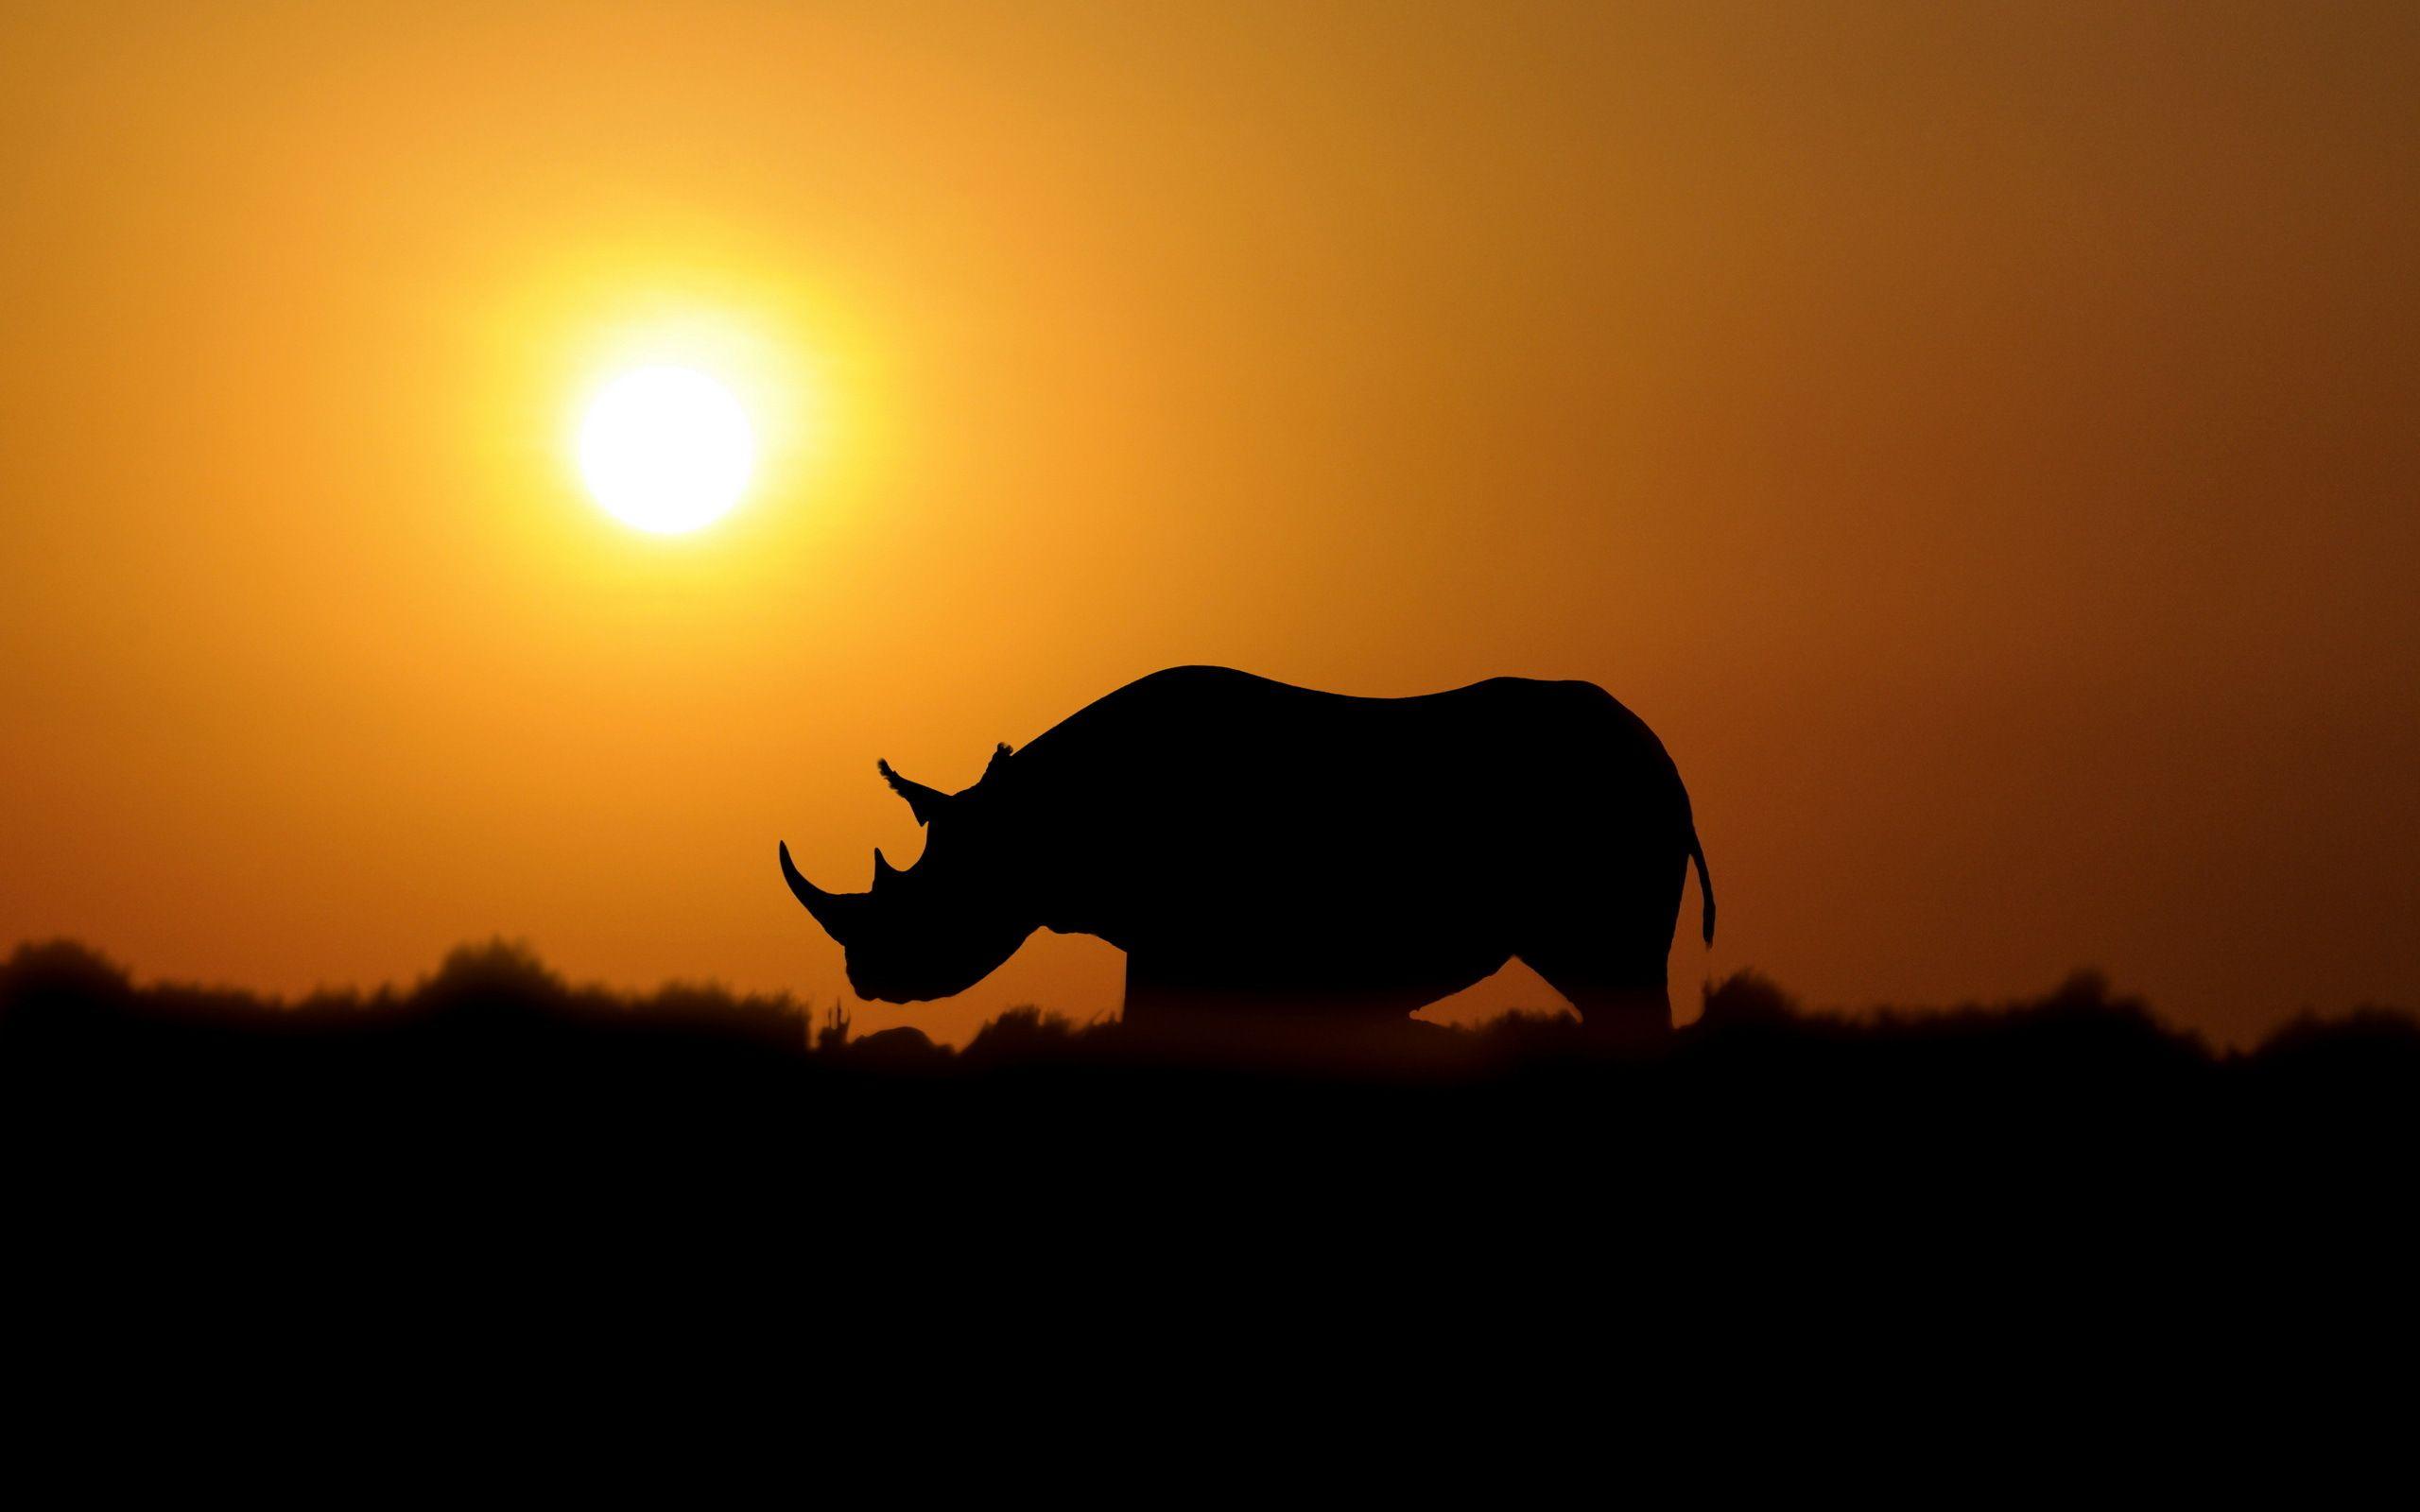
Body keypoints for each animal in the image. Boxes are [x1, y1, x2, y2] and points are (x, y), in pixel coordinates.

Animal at [779, 666, 1713, 1035]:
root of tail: (1668, 763)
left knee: (1616, 976)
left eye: (934, 902)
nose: (866, 977)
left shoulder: (1181, 938)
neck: (1033, 822)